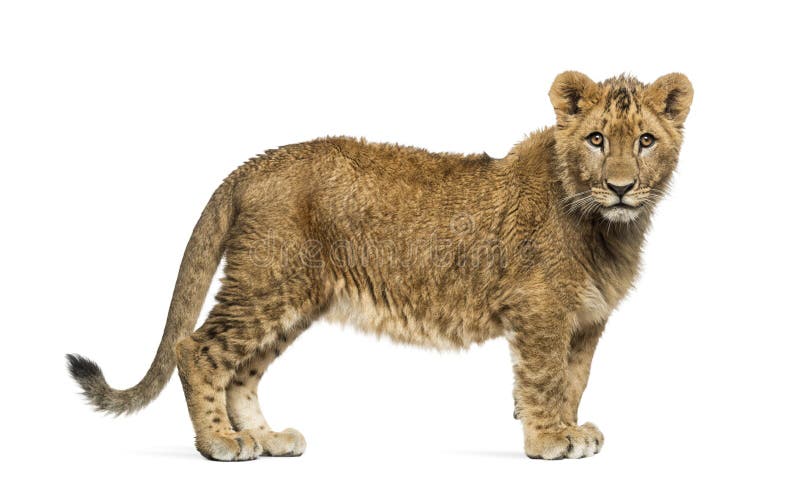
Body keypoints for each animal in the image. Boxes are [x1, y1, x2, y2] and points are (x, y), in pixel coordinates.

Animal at [67, 71, 693, 460]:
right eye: (596, 139)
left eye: (644, 140)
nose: (621, 187)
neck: (610, 228)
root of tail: (253, 164)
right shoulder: (538, 309)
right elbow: (543, 378)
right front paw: (548, 441)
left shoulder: (586, 319)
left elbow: (573, 380)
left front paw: (568, 428)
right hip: (268, 281)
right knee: (198, 349)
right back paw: (221, 444)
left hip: (296, 300)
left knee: (242, 370)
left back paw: (267, 438)